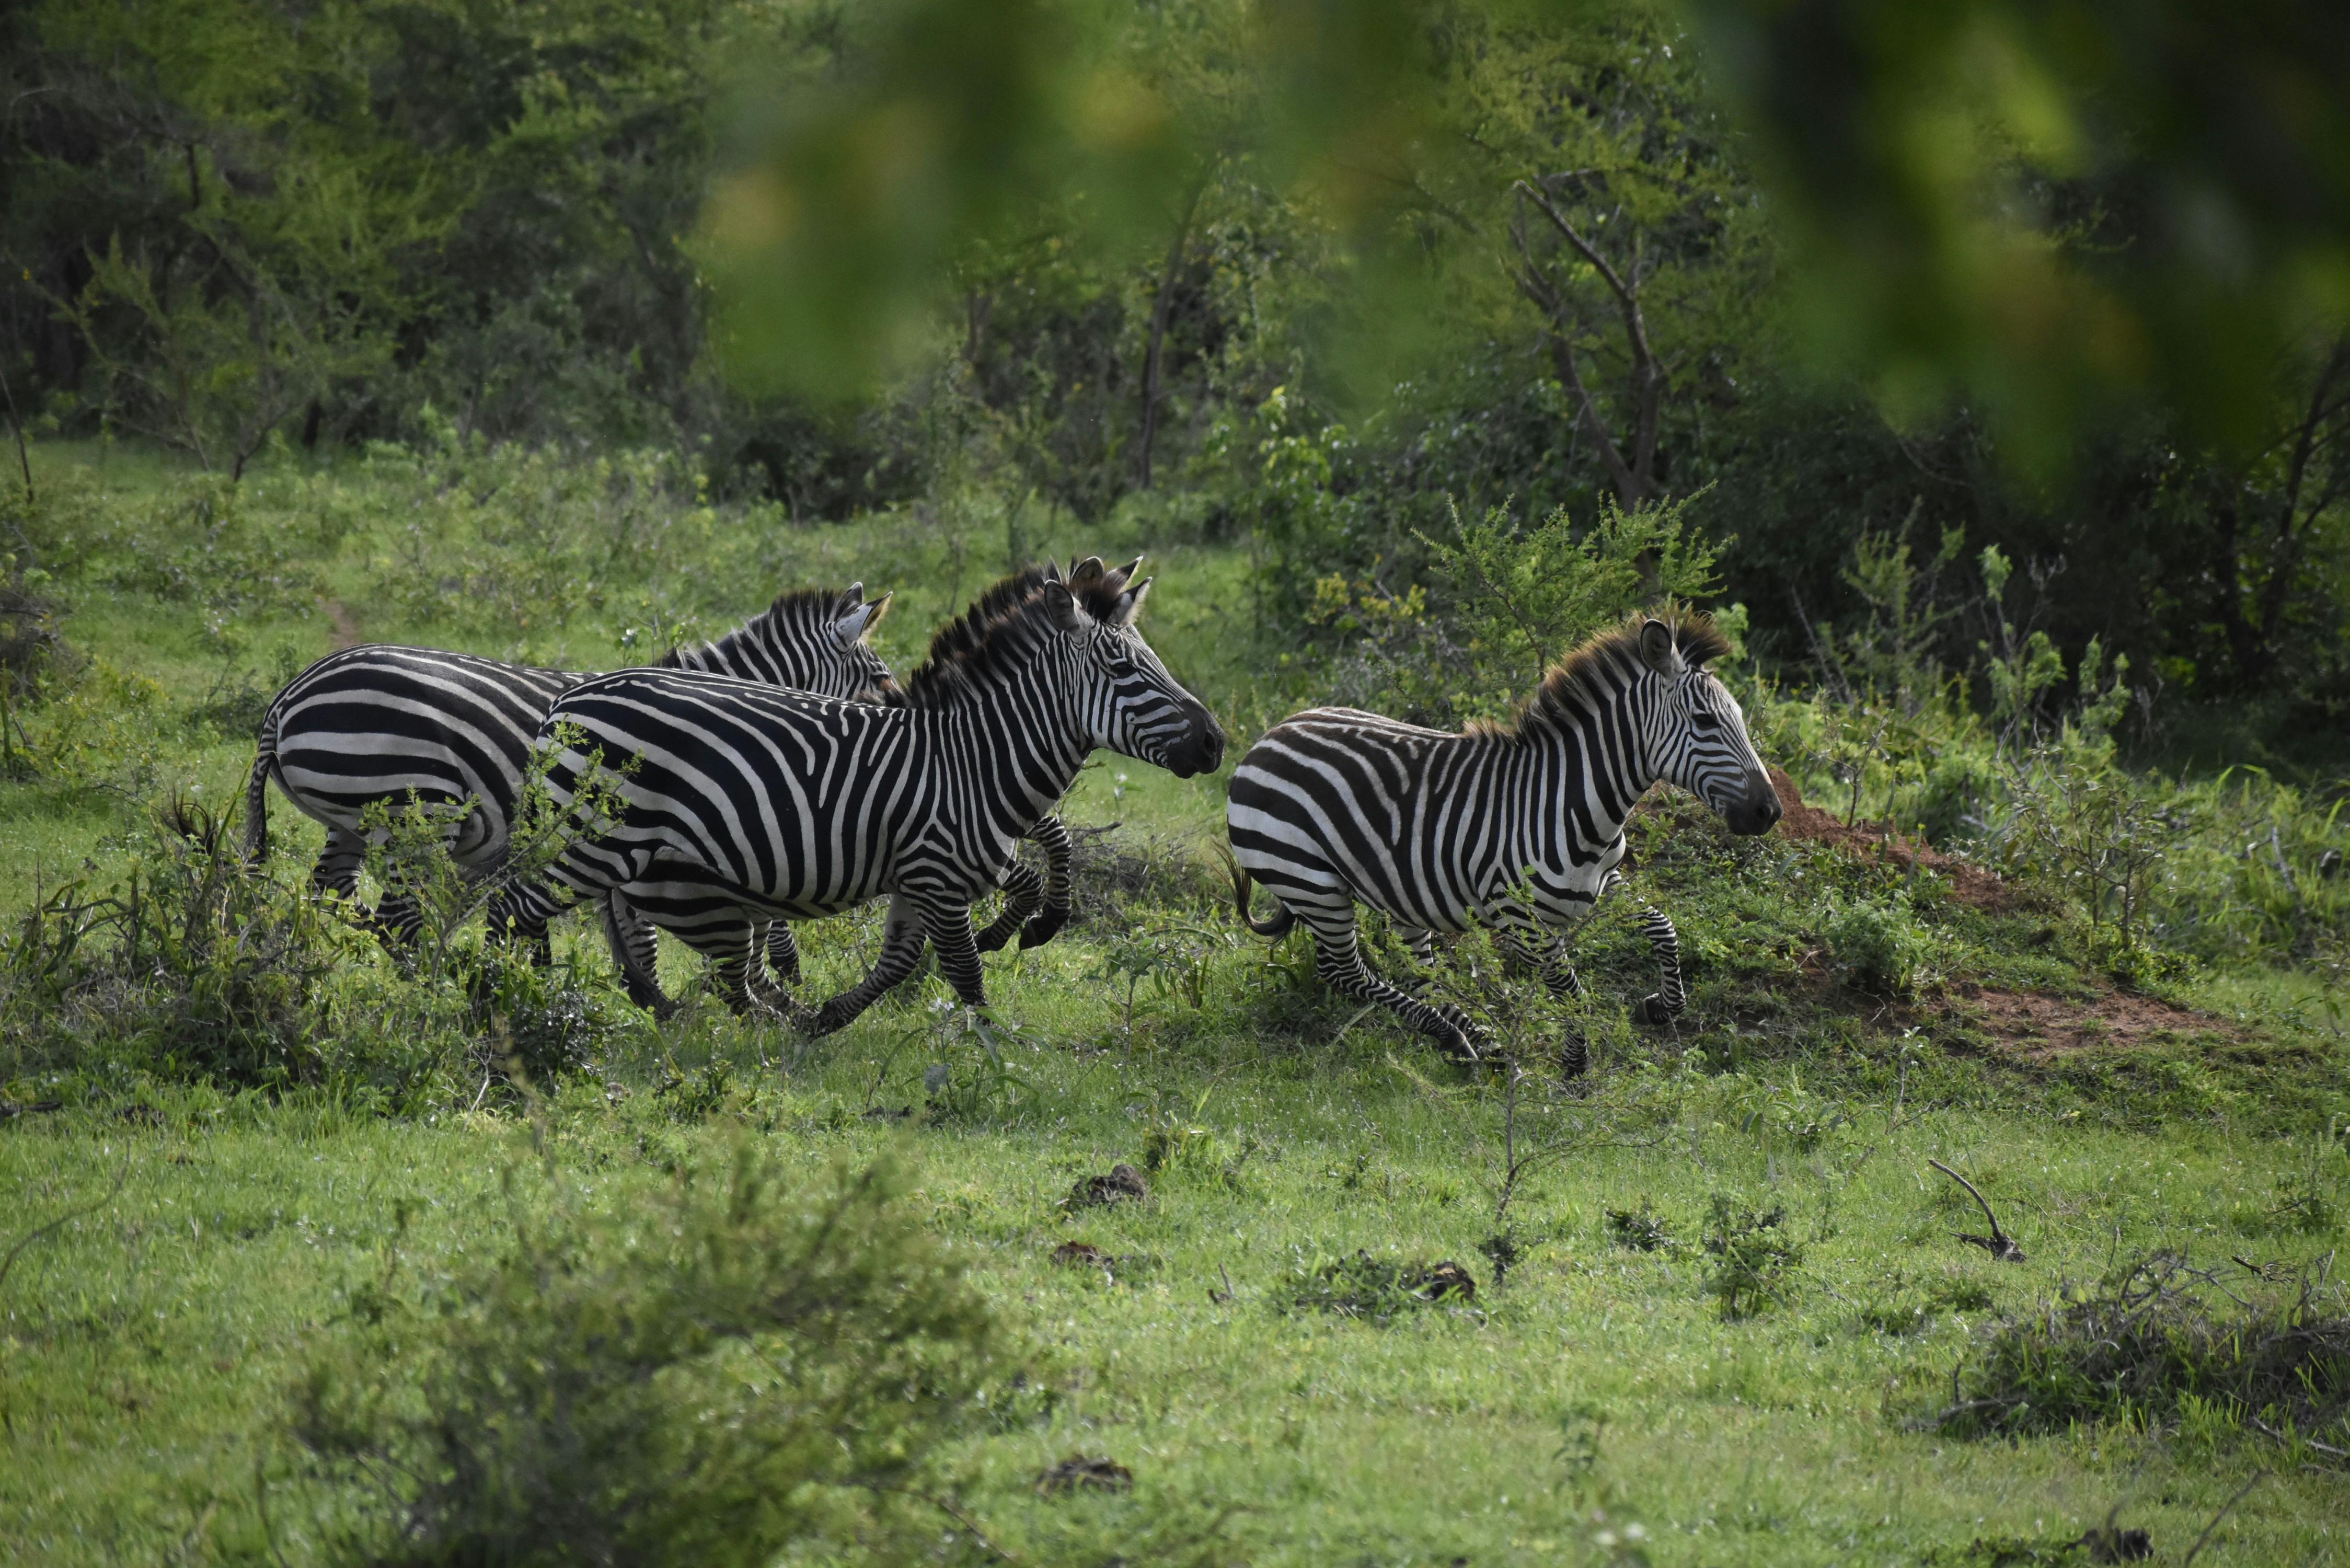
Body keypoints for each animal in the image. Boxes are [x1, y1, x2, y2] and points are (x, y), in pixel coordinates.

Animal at [495, 557, 1223, 1028]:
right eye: (1124, 668)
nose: (1216, 743)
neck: (972, 759)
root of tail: (568, 699)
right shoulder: (936, 875)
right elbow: (965, 974)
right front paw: (996, 1055)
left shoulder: (920, 880)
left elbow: (899, 964)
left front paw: (823, 1019)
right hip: (590, 842)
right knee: (517, 907)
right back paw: (508, 995)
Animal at [1224, 613, 1781, 1071]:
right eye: (1705, 722)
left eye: (1740, 719)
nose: (1770, 812)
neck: (1574, 805)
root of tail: (1271, 735)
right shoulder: (1520, 918)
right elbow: (1569, 988)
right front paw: (1576, 1069)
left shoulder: (1605, 882)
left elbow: (1662, 926)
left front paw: (1663, 1006)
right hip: (1312, 883)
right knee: (1344, 972)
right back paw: (1456, 1036)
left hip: (1394, 894)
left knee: (1418, 972)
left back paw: (1475, 1042)